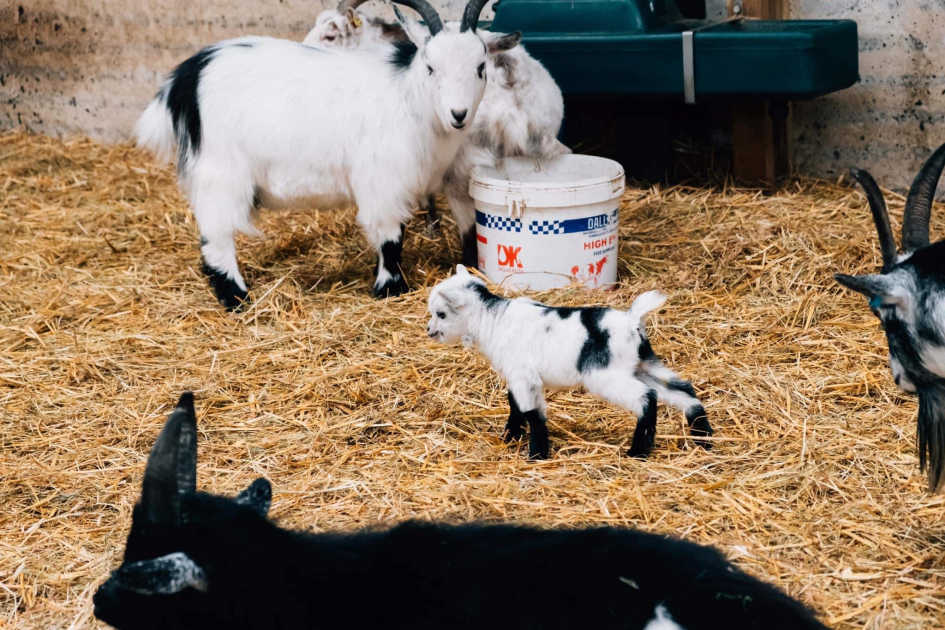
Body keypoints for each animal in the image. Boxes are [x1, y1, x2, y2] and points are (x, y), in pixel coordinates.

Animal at [136, 0, 508, 310]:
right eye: (431, 67)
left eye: (480, 67)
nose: (458, 114)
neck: (408, 96)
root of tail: (188, 75)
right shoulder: (382, 181)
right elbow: (390, 237)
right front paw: (391, 289)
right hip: (221, 172)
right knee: (216, 236)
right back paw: (237, 299)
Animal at [425, 266, 712, 460]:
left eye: (441, 313)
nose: (429, 331)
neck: (494, 320)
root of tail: (632, 321)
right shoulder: (517, 376)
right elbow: (515, 406)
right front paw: (510, 439)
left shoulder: (524, 376)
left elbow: (532, 412)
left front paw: (536, 454)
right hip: (643, 365)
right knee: (683, 389)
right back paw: (704, 438)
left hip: (606, 376)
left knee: (647, 397)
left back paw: (638, 452)